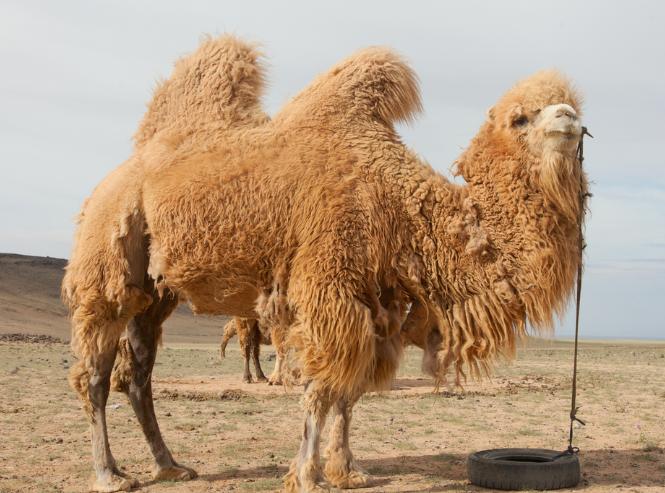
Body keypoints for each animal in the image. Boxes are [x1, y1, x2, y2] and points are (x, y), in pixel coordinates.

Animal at [62, 35, 587, 492]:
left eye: (570, 107)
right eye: (520, 118)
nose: (568, 118)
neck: (399, 205)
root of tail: (120, 172)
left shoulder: (378, 301)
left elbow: (348, 392)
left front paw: (347, 471)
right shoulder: (329, 285)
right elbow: (321, 390)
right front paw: (307, 475)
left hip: (155, 292)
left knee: (138, 375)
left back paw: (170, 466)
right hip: (107, 257)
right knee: (94, 375)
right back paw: (110, 474)